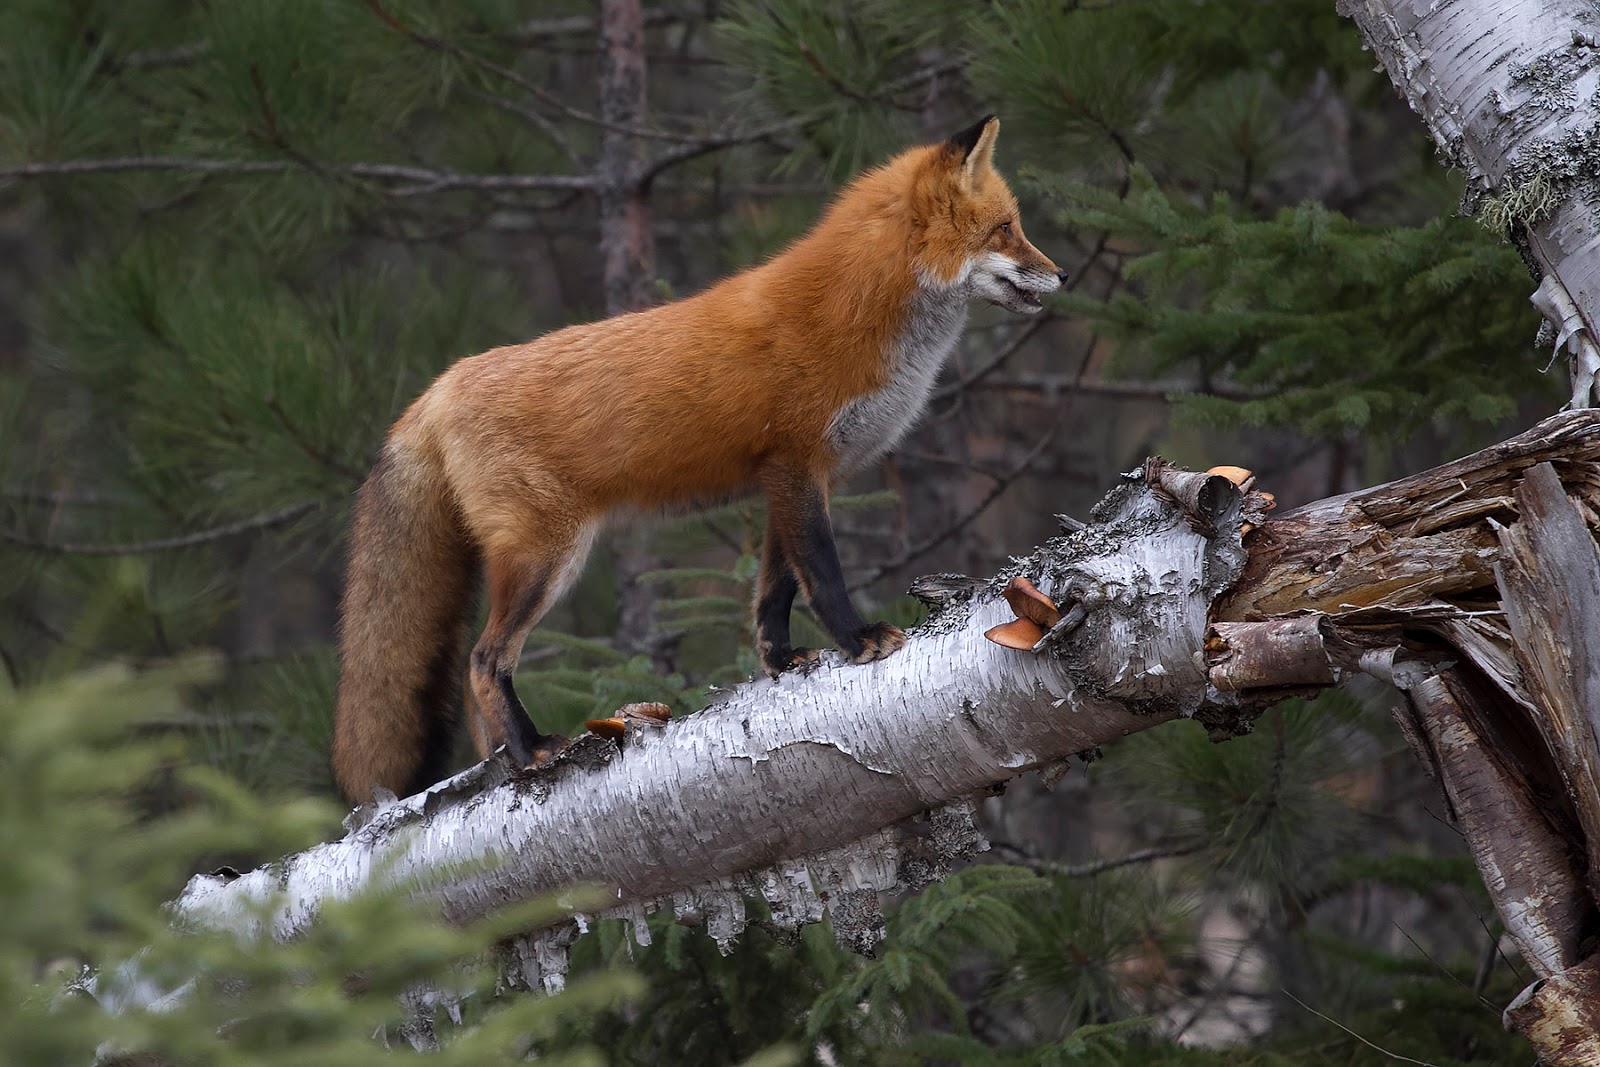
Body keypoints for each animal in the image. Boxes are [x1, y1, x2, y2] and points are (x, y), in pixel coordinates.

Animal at [332, 115, 1064, 803]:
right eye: (1006, 229)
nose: (1061, 274)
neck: (858, 311)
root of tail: (438, 386)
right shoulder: (798, 466)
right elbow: (822, 573)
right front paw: (857, 641)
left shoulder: (790, 480)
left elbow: (774, 591)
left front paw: (782, 662)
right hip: (546, 557)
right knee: (483, 662)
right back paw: (533, 748)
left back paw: (504, 763)